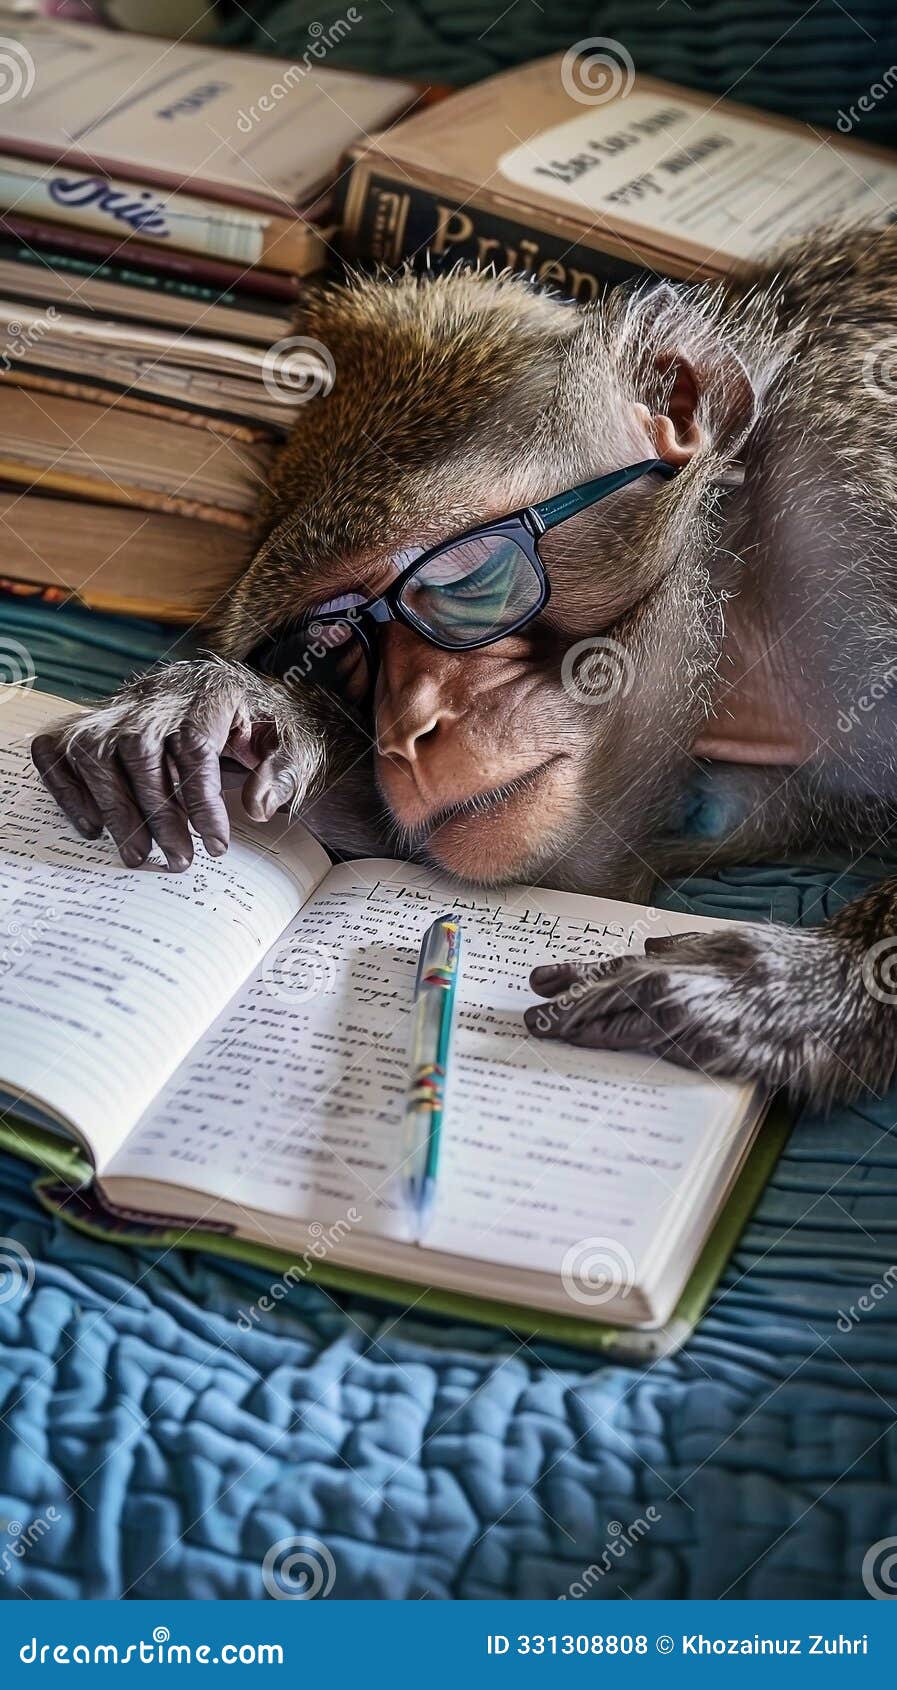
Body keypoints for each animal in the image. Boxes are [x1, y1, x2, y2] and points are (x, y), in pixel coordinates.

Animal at [29, 225, 897, 1112]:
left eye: (462, 580)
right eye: (333, 646)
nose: (407, 733)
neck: (732, 603)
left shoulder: (857, 472)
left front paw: (796, 992)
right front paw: (246, 717)